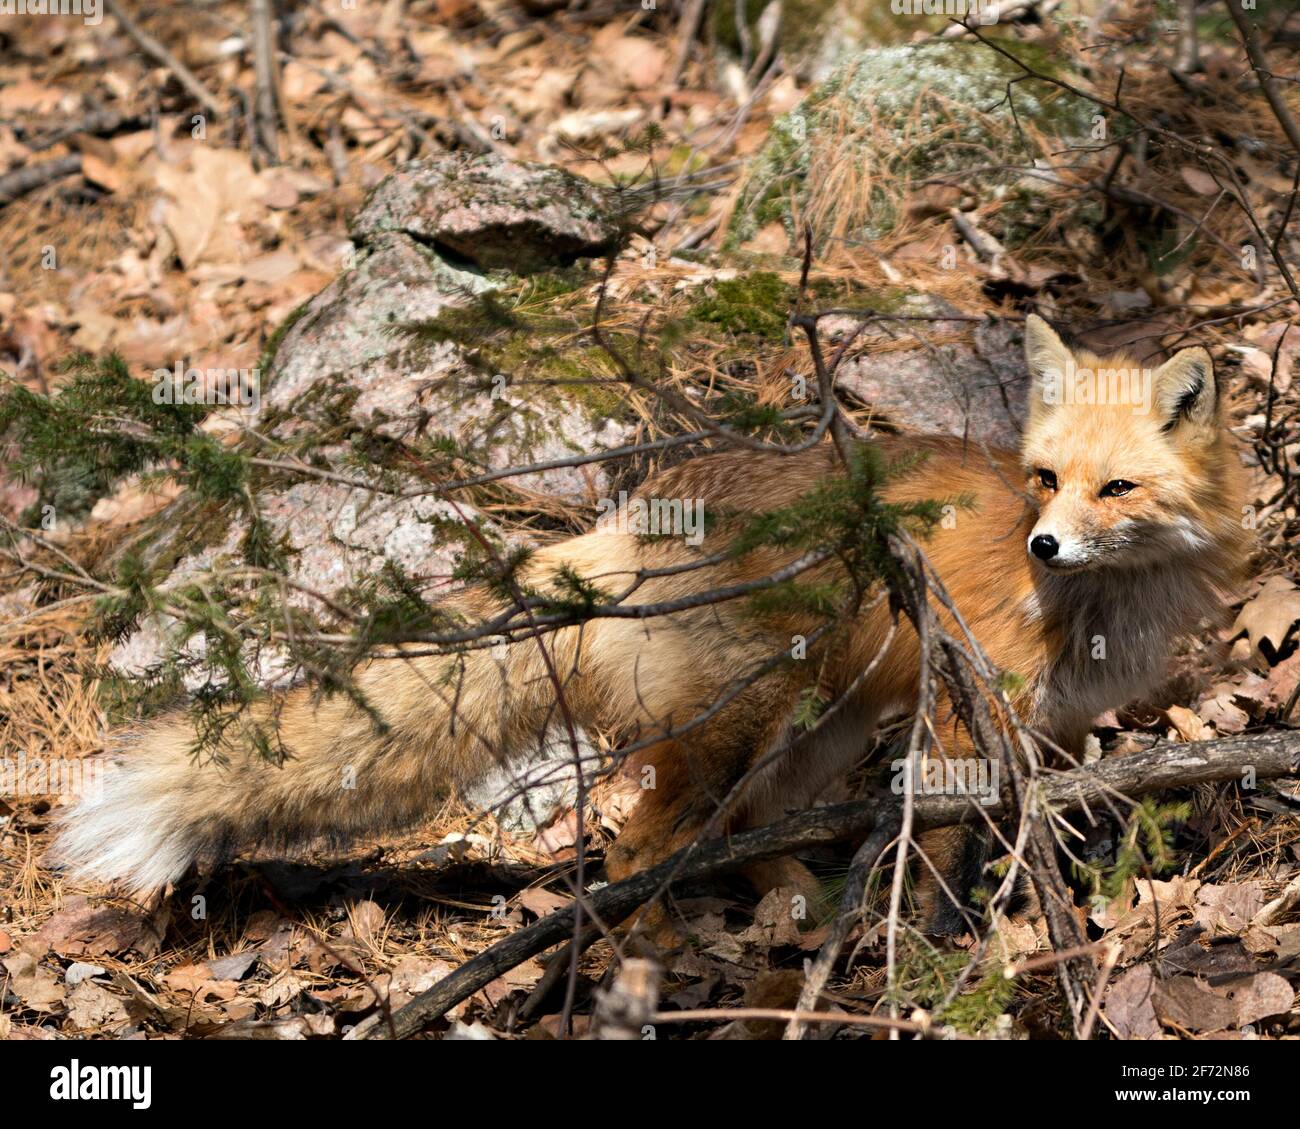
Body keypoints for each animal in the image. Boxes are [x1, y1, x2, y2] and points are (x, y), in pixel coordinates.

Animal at [50, 316, 1246, 930]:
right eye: (1045, 480)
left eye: (1116, 489)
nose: (1043, 547)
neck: (1105, 607)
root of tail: (627, 521)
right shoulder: (963, 715)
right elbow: (950, 847)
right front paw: (938, 935)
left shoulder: (1048, 724)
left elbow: (1038, 826)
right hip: (750, 721)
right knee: (641, 843)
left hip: (816, 731)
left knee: (741, 831)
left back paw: (788, 906)